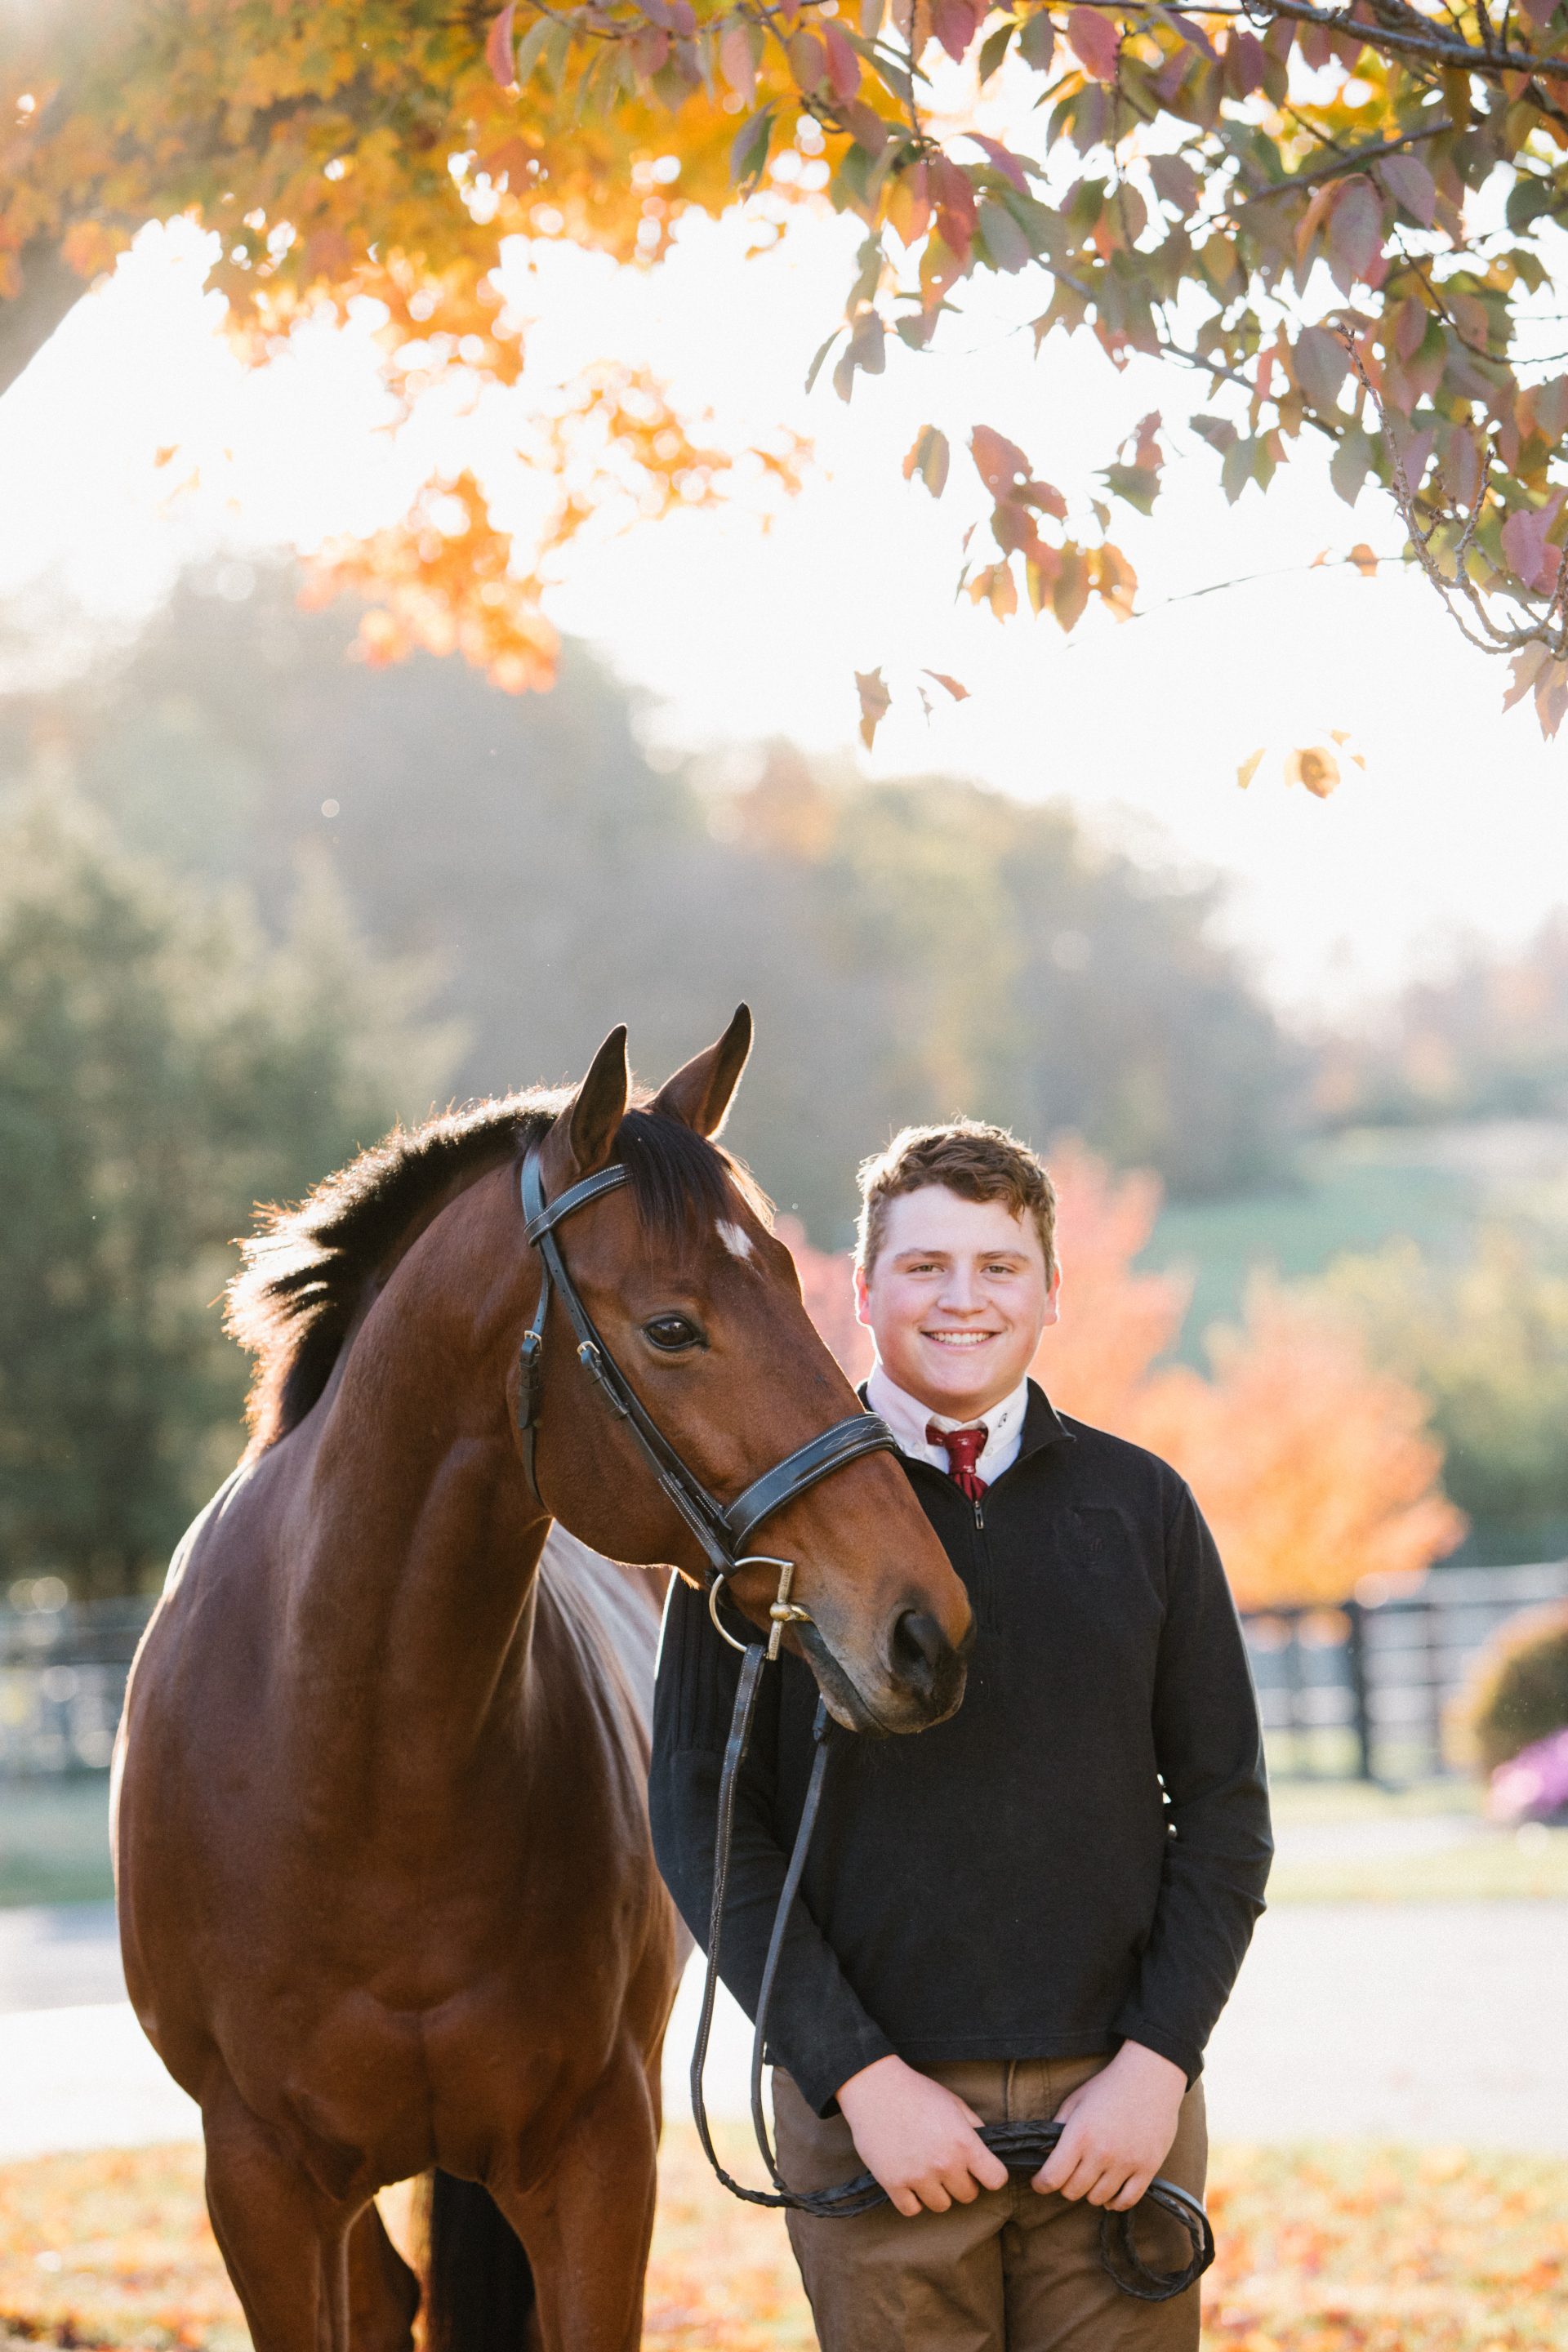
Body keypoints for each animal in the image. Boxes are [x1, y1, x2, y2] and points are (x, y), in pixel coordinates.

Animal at [113, 1007, 973, 2352]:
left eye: (792, 1282)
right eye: (672, 1327)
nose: (922, 1630)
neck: (359, 1776)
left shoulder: (595, 2164)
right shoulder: (261, 2188)